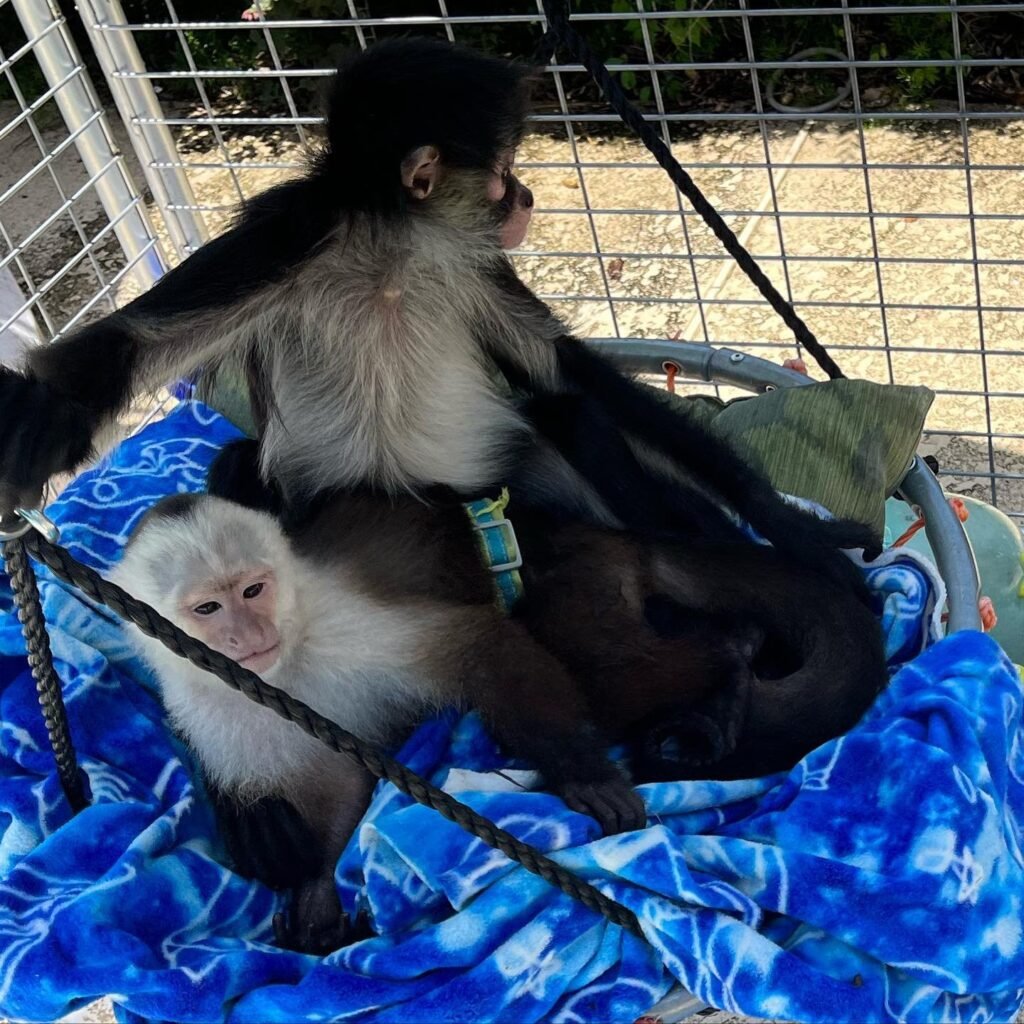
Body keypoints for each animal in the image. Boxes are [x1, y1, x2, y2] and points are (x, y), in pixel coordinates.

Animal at [0, 37, 880, 594]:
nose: (526, 197)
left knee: (571, 413)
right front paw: (41, 425)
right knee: (234, 467)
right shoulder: (293, 235)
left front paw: (784, 525)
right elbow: (124, 344)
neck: (388, 253)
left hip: (511, 479)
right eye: (505, 170)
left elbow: (574, 373)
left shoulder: (469, 264)